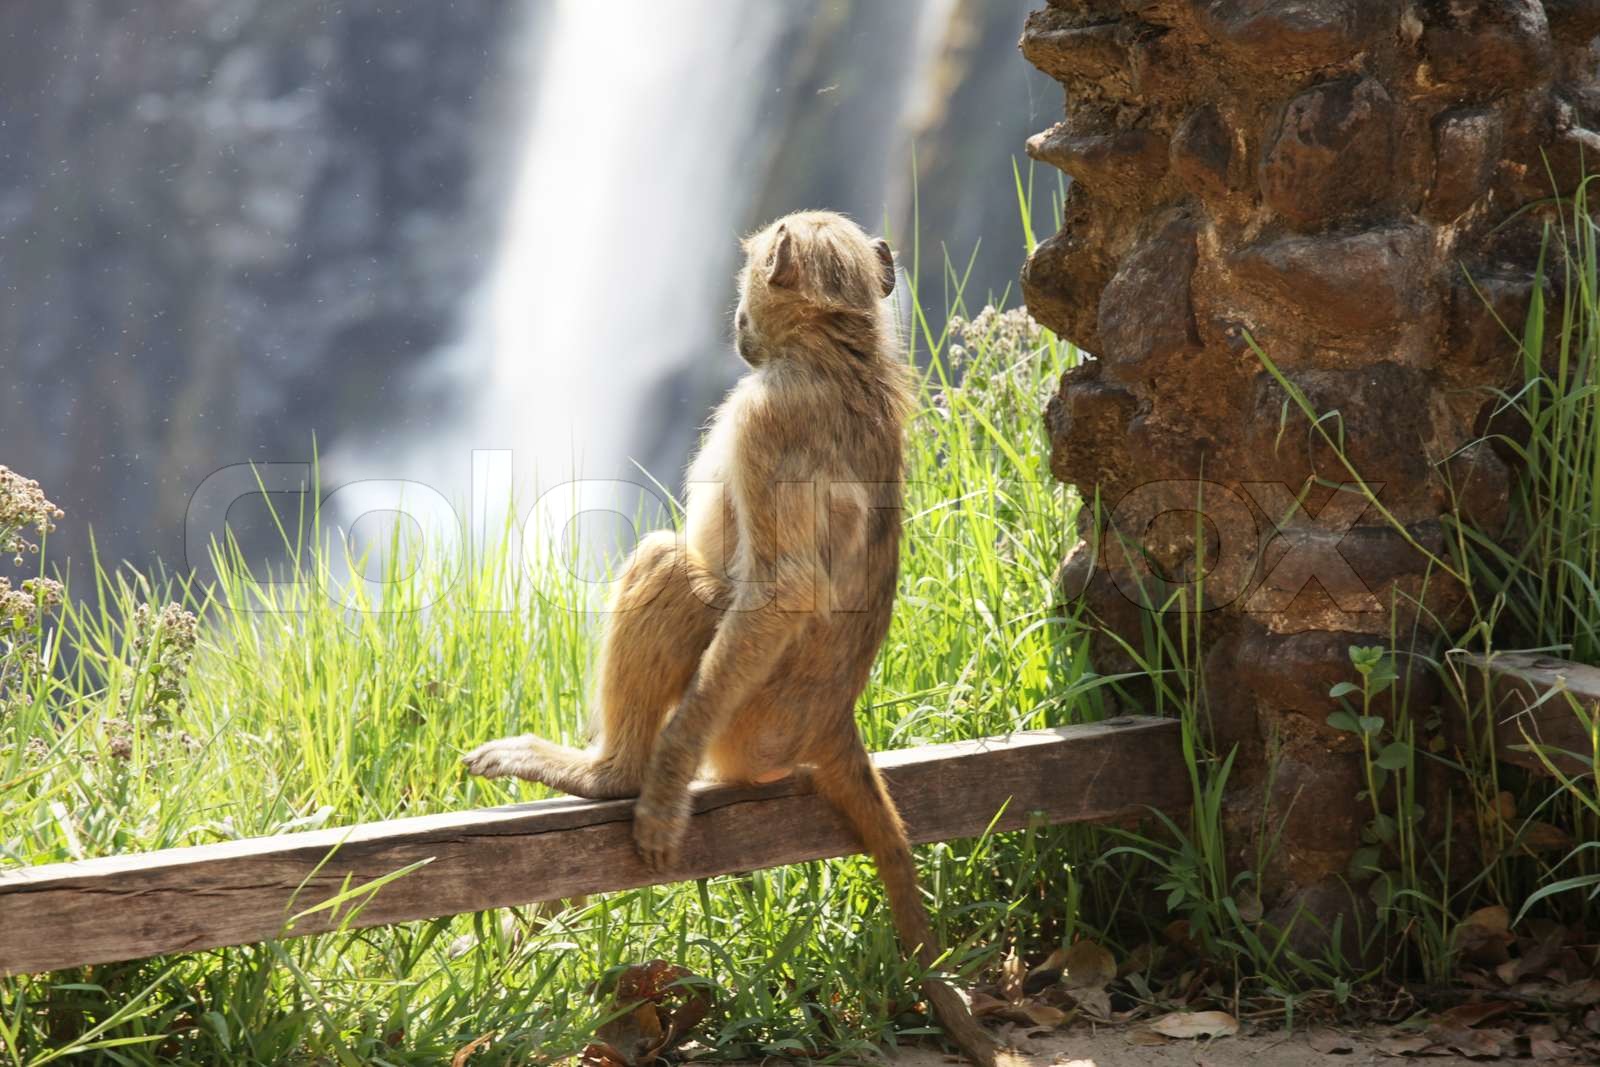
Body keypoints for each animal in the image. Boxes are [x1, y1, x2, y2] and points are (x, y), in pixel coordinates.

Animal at [464, 211, 1011, 1067]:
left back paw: (612, 773)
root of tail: (832, 721)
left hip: (748, 732)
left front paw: (661, 782)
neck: (836, 353)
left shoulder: (764, 419)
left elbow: (783, 591)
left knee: (673, 568)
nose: (736, 326)